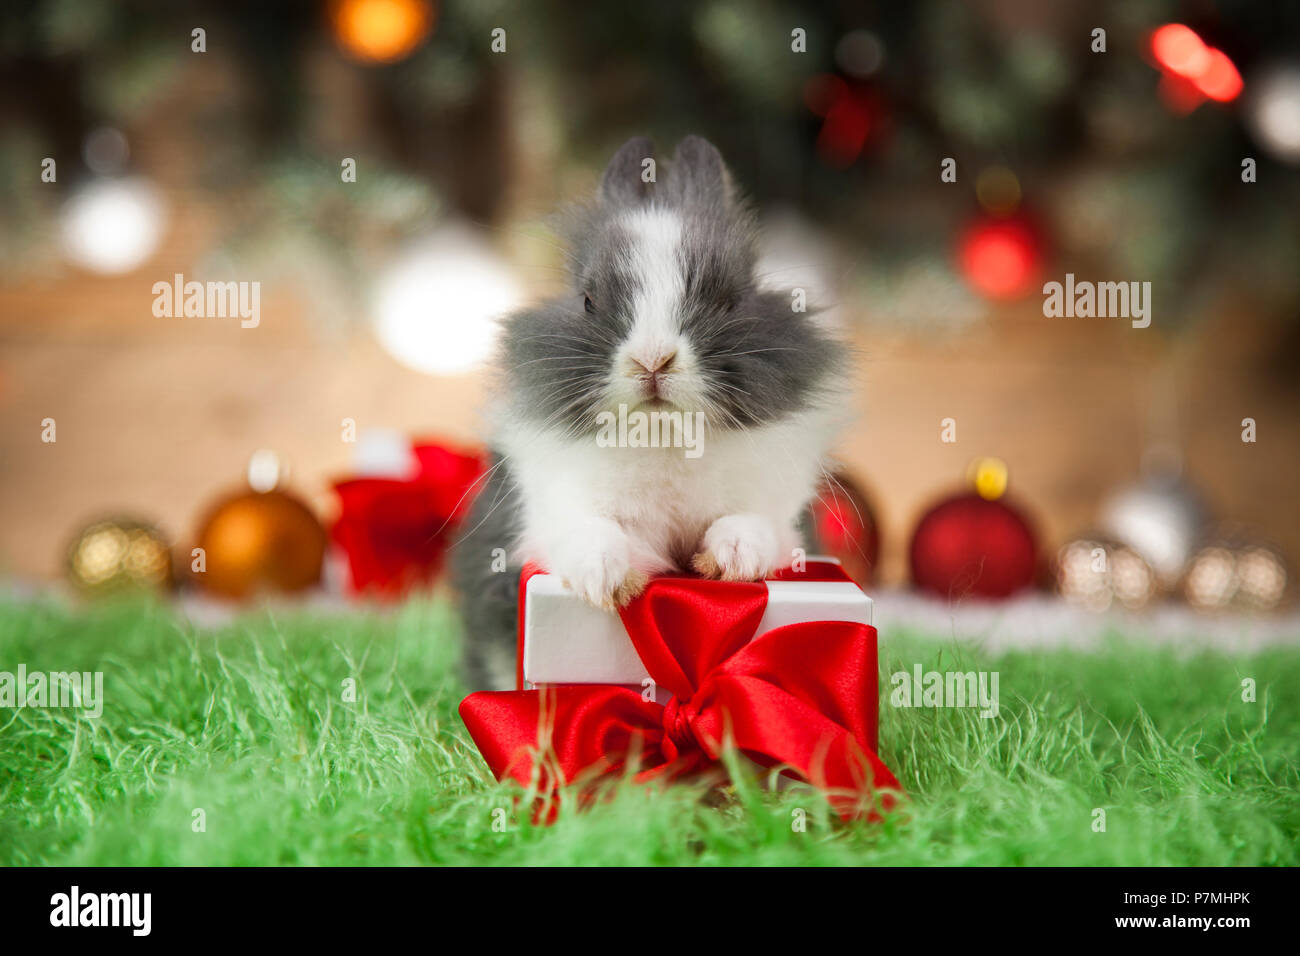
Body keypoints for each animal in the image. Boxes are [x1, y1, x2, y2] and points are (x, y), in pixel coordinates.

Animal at [452, 135, 848, 691]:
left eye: (730, 300)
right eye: (588, 299)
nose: (653, 359)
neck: (663, 435)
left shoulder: (779, 518)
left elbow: (752, 526)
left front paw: (730, 561)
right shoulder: (553, 513)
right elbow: (591, 531)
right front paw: (606, 580)